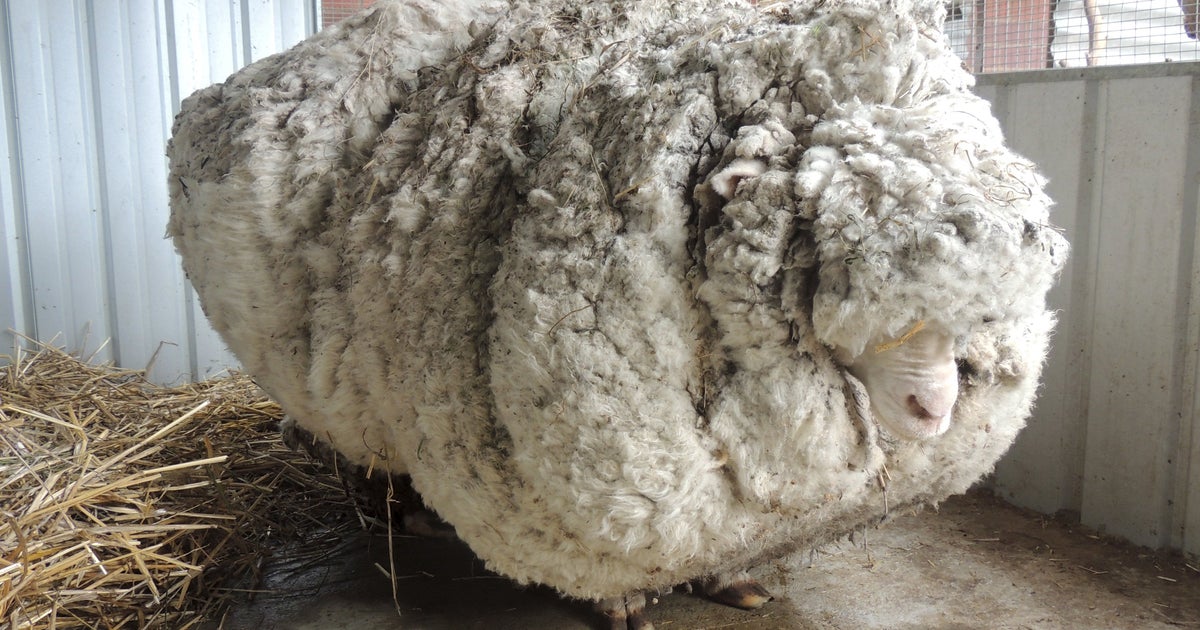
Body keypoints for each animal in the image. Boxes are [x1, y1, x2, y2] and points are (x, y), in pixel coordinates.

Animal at [166, 0, 1068, 627]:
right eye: (831, 260)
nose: (934, 408)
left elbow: (718, 550)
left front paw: (730, 585)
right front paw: (622, 605)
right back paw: (395, 509)